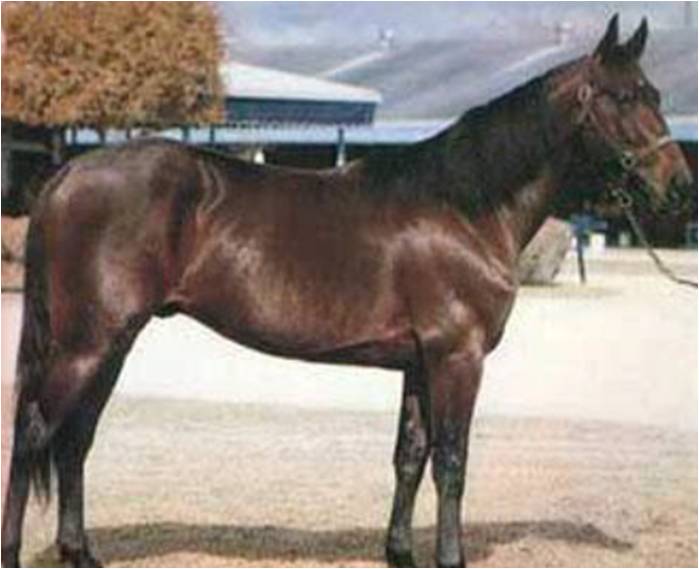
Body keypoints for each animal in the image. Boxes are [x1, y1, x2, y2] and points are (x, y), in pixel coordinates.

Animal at [1, 16, 692, 568]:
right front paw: (450, 557)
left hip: (111, 343)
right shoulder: (457, 357)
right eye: (622, 96)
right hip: (89, 344)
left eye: (656, 94)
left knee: (74, 439)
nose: (680, 186)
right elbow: (452, 461)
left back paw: (81, 552)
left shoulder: (418, 360)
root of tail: (66, 173)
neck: (465, 204)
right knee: (34, 434)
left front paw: (400, 552)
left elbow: (410, 455)